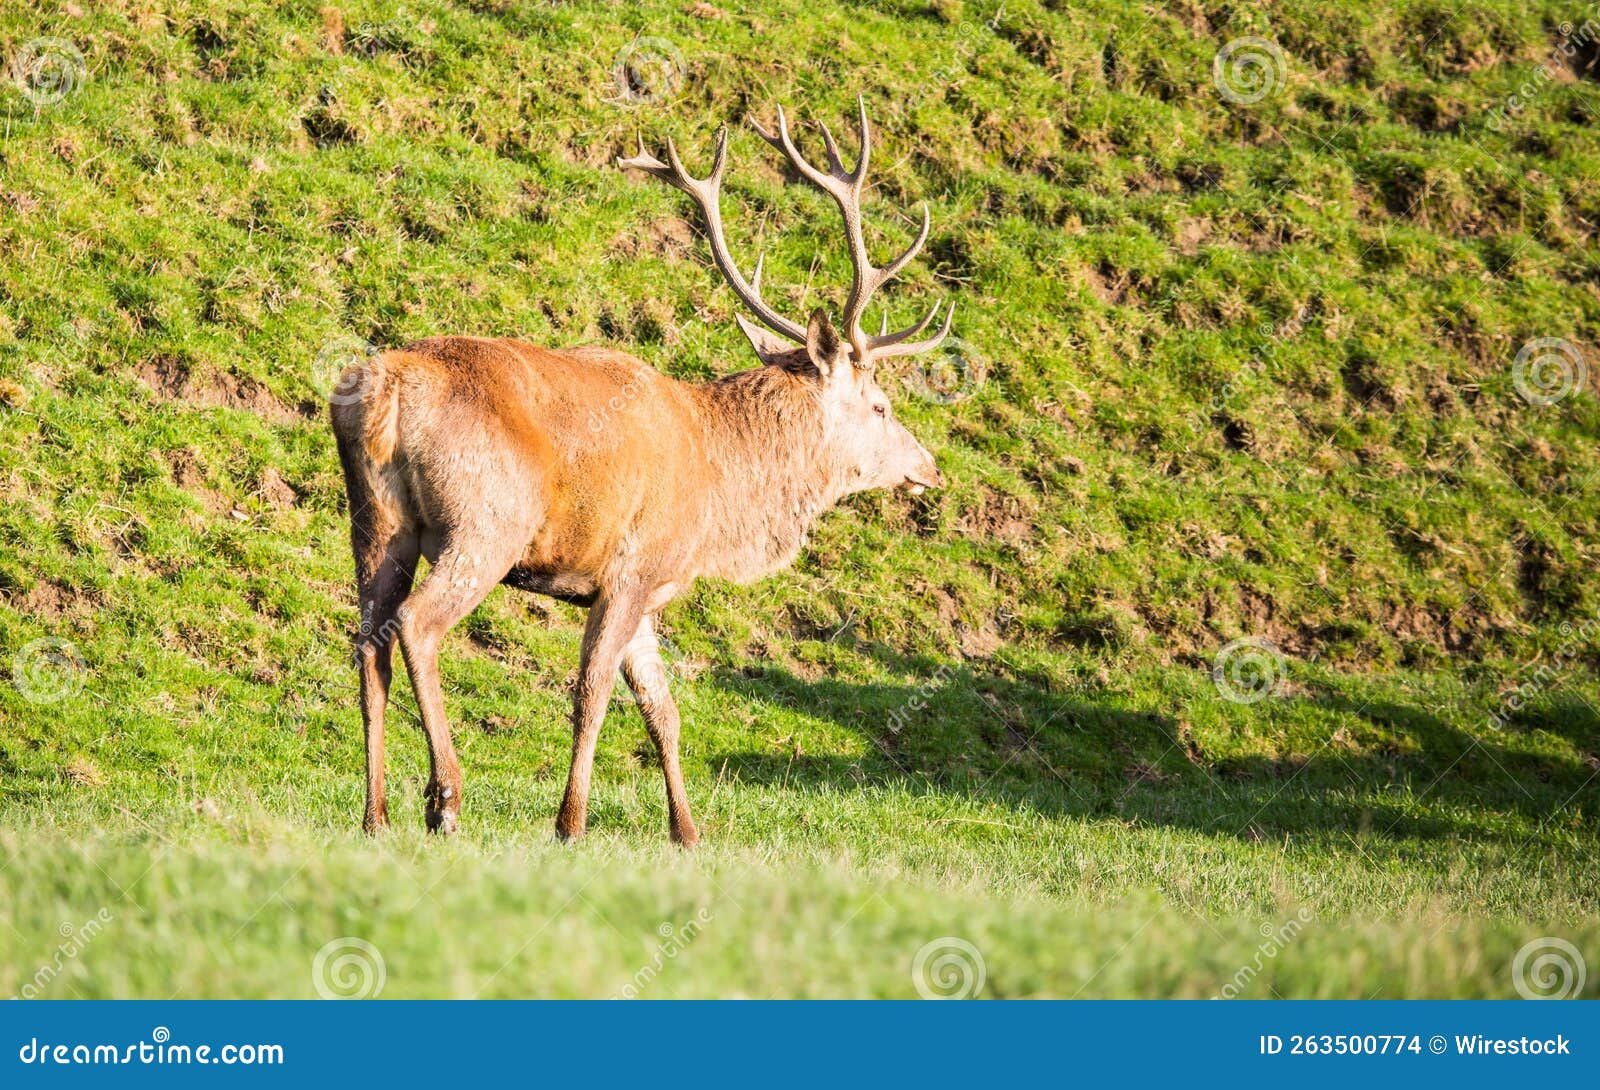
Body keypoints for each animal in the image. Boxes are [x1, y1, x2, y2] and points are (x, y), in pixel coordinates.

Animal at [330, 99, 953, 846]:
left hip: (375, 521)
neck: (722, 492)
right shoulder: (631, 567)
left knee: (368, 640)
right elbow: (593, 693)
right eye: (881, 405)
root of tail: (383, 388)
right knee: (417, 625)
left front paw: (687, 833)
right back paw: (444, 801)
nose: (930, 468)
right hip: (486, 522)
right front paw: (570, 824)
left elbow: (664, 710)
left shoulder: (650, 589)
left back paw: (375, 815)